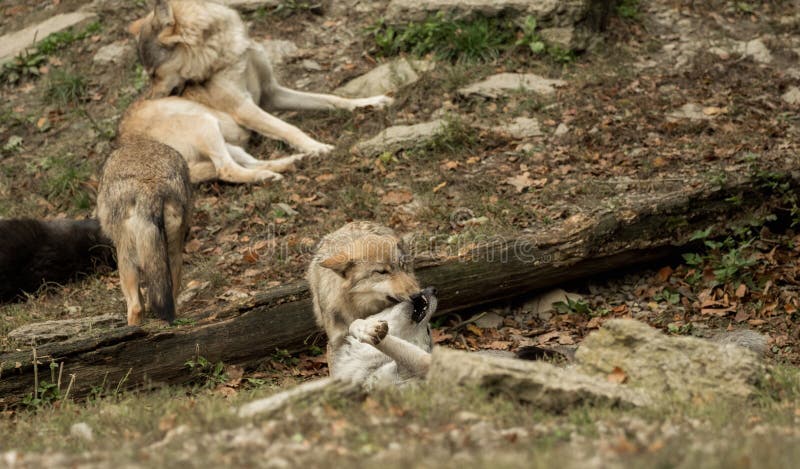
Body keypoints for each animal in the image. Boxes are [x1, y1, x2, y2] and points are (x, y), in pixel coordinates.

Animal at [122, 0, 393, 184]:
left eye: (154, 74)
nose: (150, 99)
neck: (224, 54)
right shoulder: (245, 108)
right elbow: (290, 128)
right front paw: (317, 146)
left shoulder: (271, 92)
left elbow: (331, 98)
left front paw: (370, 102)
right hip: (205, 124)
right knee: (226, 170)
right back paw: (269, 175)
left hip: (226, 140)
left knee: (248, 162)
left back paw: (290, 163)